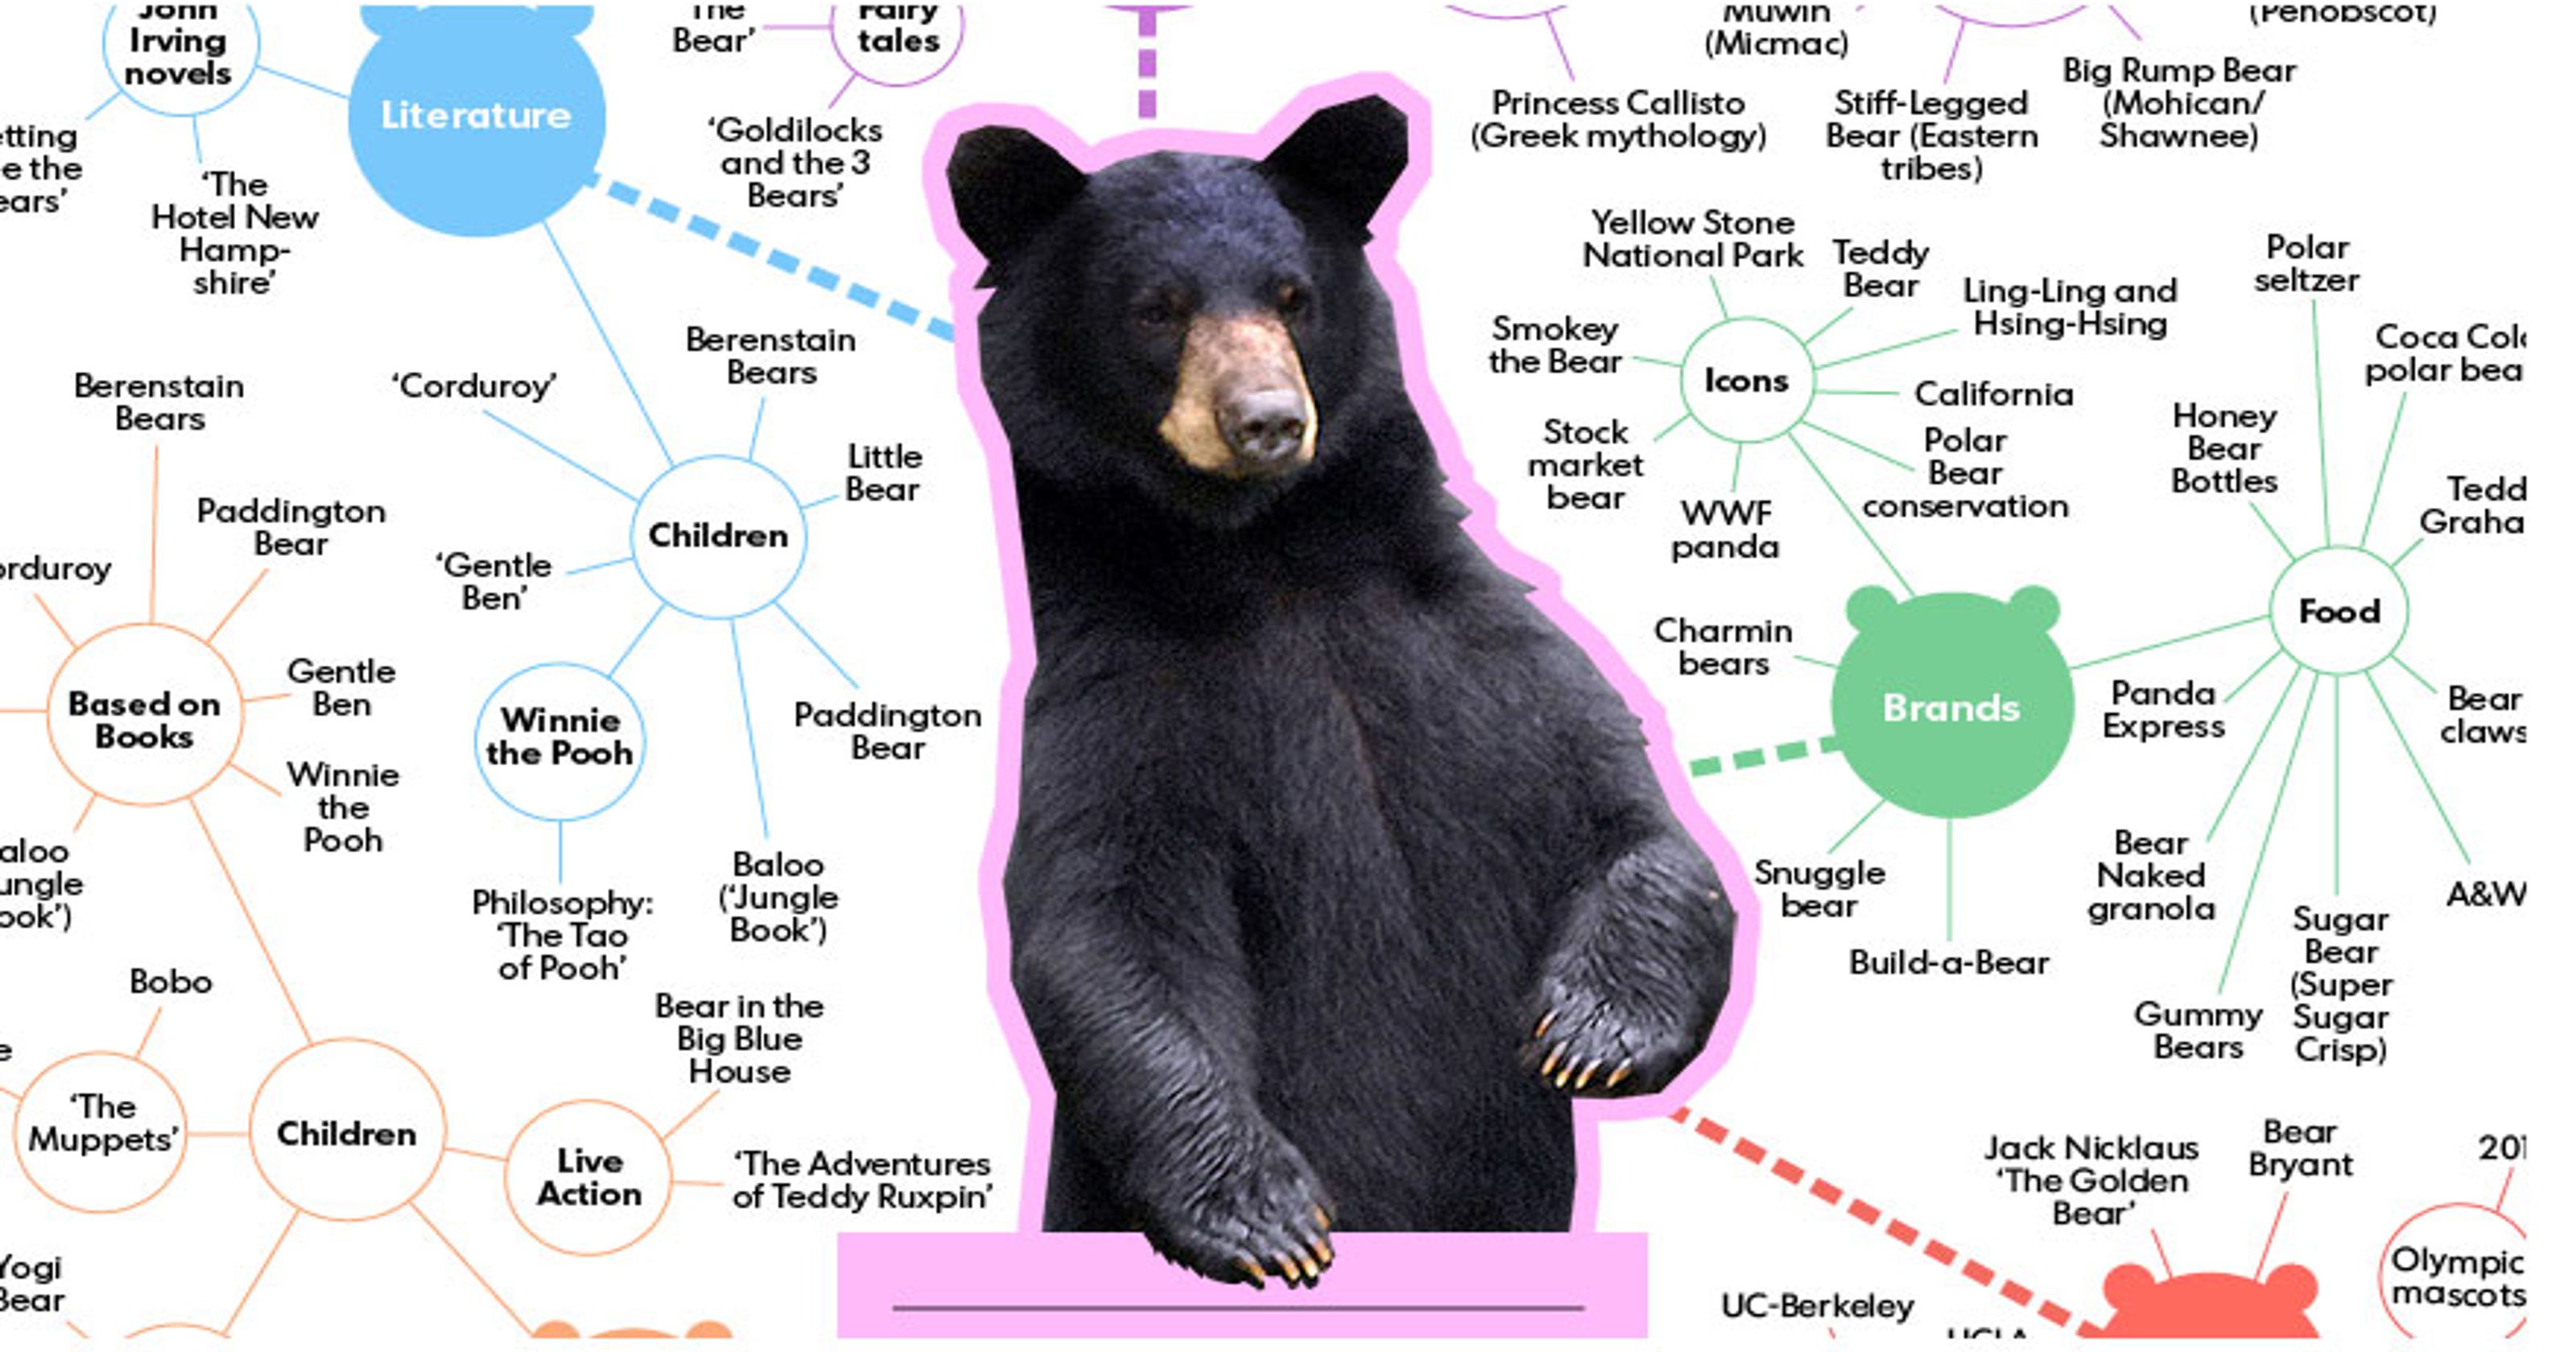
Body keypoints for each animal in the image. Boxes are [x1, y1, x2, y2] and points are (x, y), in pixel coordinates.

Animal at [943, 91, 1738, 1289]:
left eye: (1291, 296)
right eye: (1157, 310)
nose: (1266, 418)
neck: (1277, 563)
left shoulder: (1480, 647)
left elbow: (1632, 822)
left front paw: (1593, 1033)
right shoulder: (1115, 705)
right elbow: (1112, 932)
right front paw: (1262, 1212)